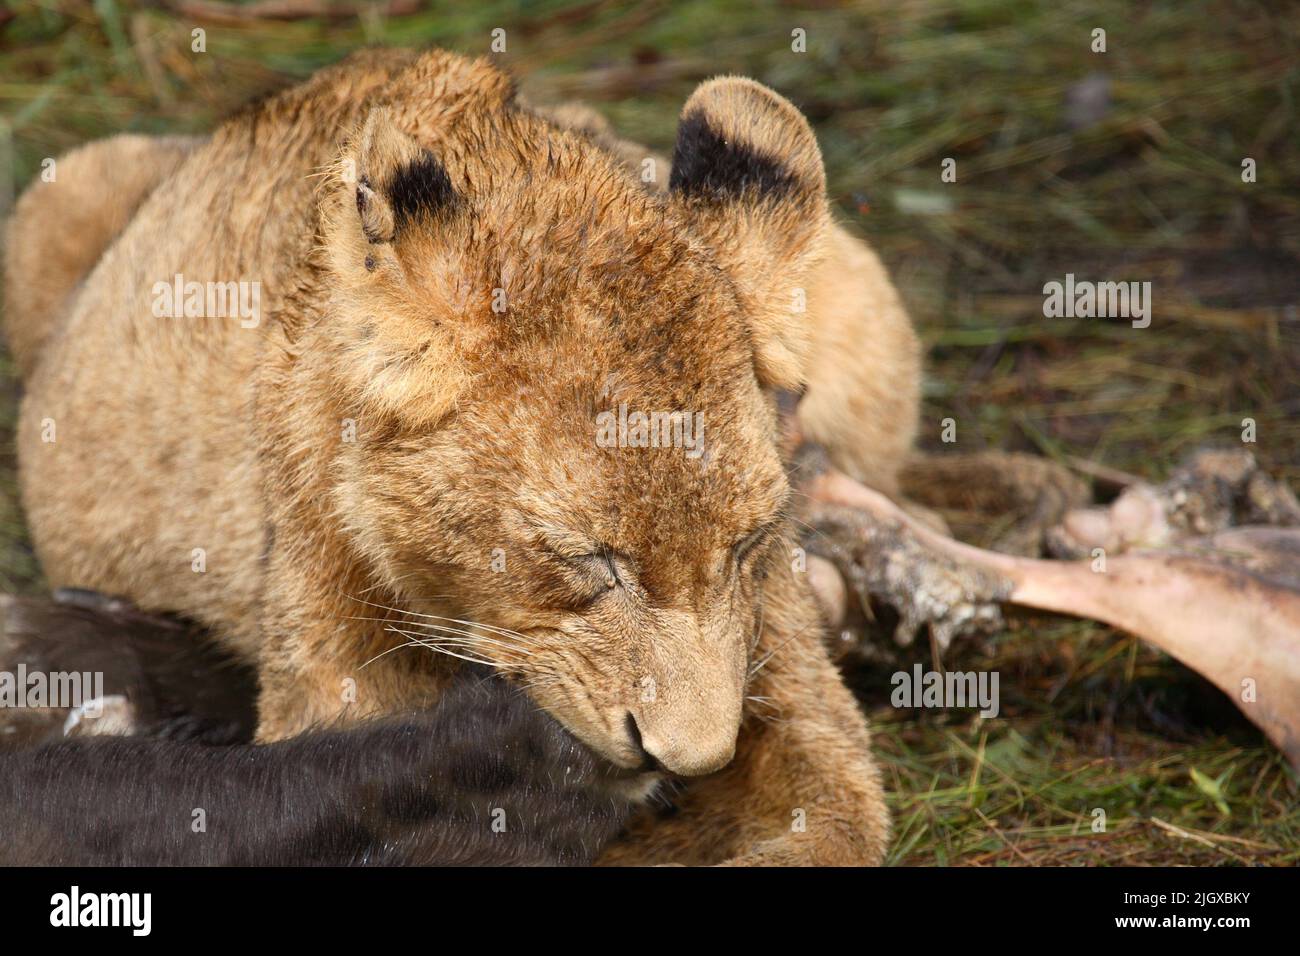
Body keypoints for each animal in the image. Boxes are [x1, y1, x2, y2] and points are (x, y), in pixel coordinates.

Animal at [4, 48, 919, 865]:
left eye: (746, 544)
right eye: (591, 560)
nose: (687, 756)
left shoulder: (788, 687)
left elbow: (832, 824)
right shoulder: (329, 683)